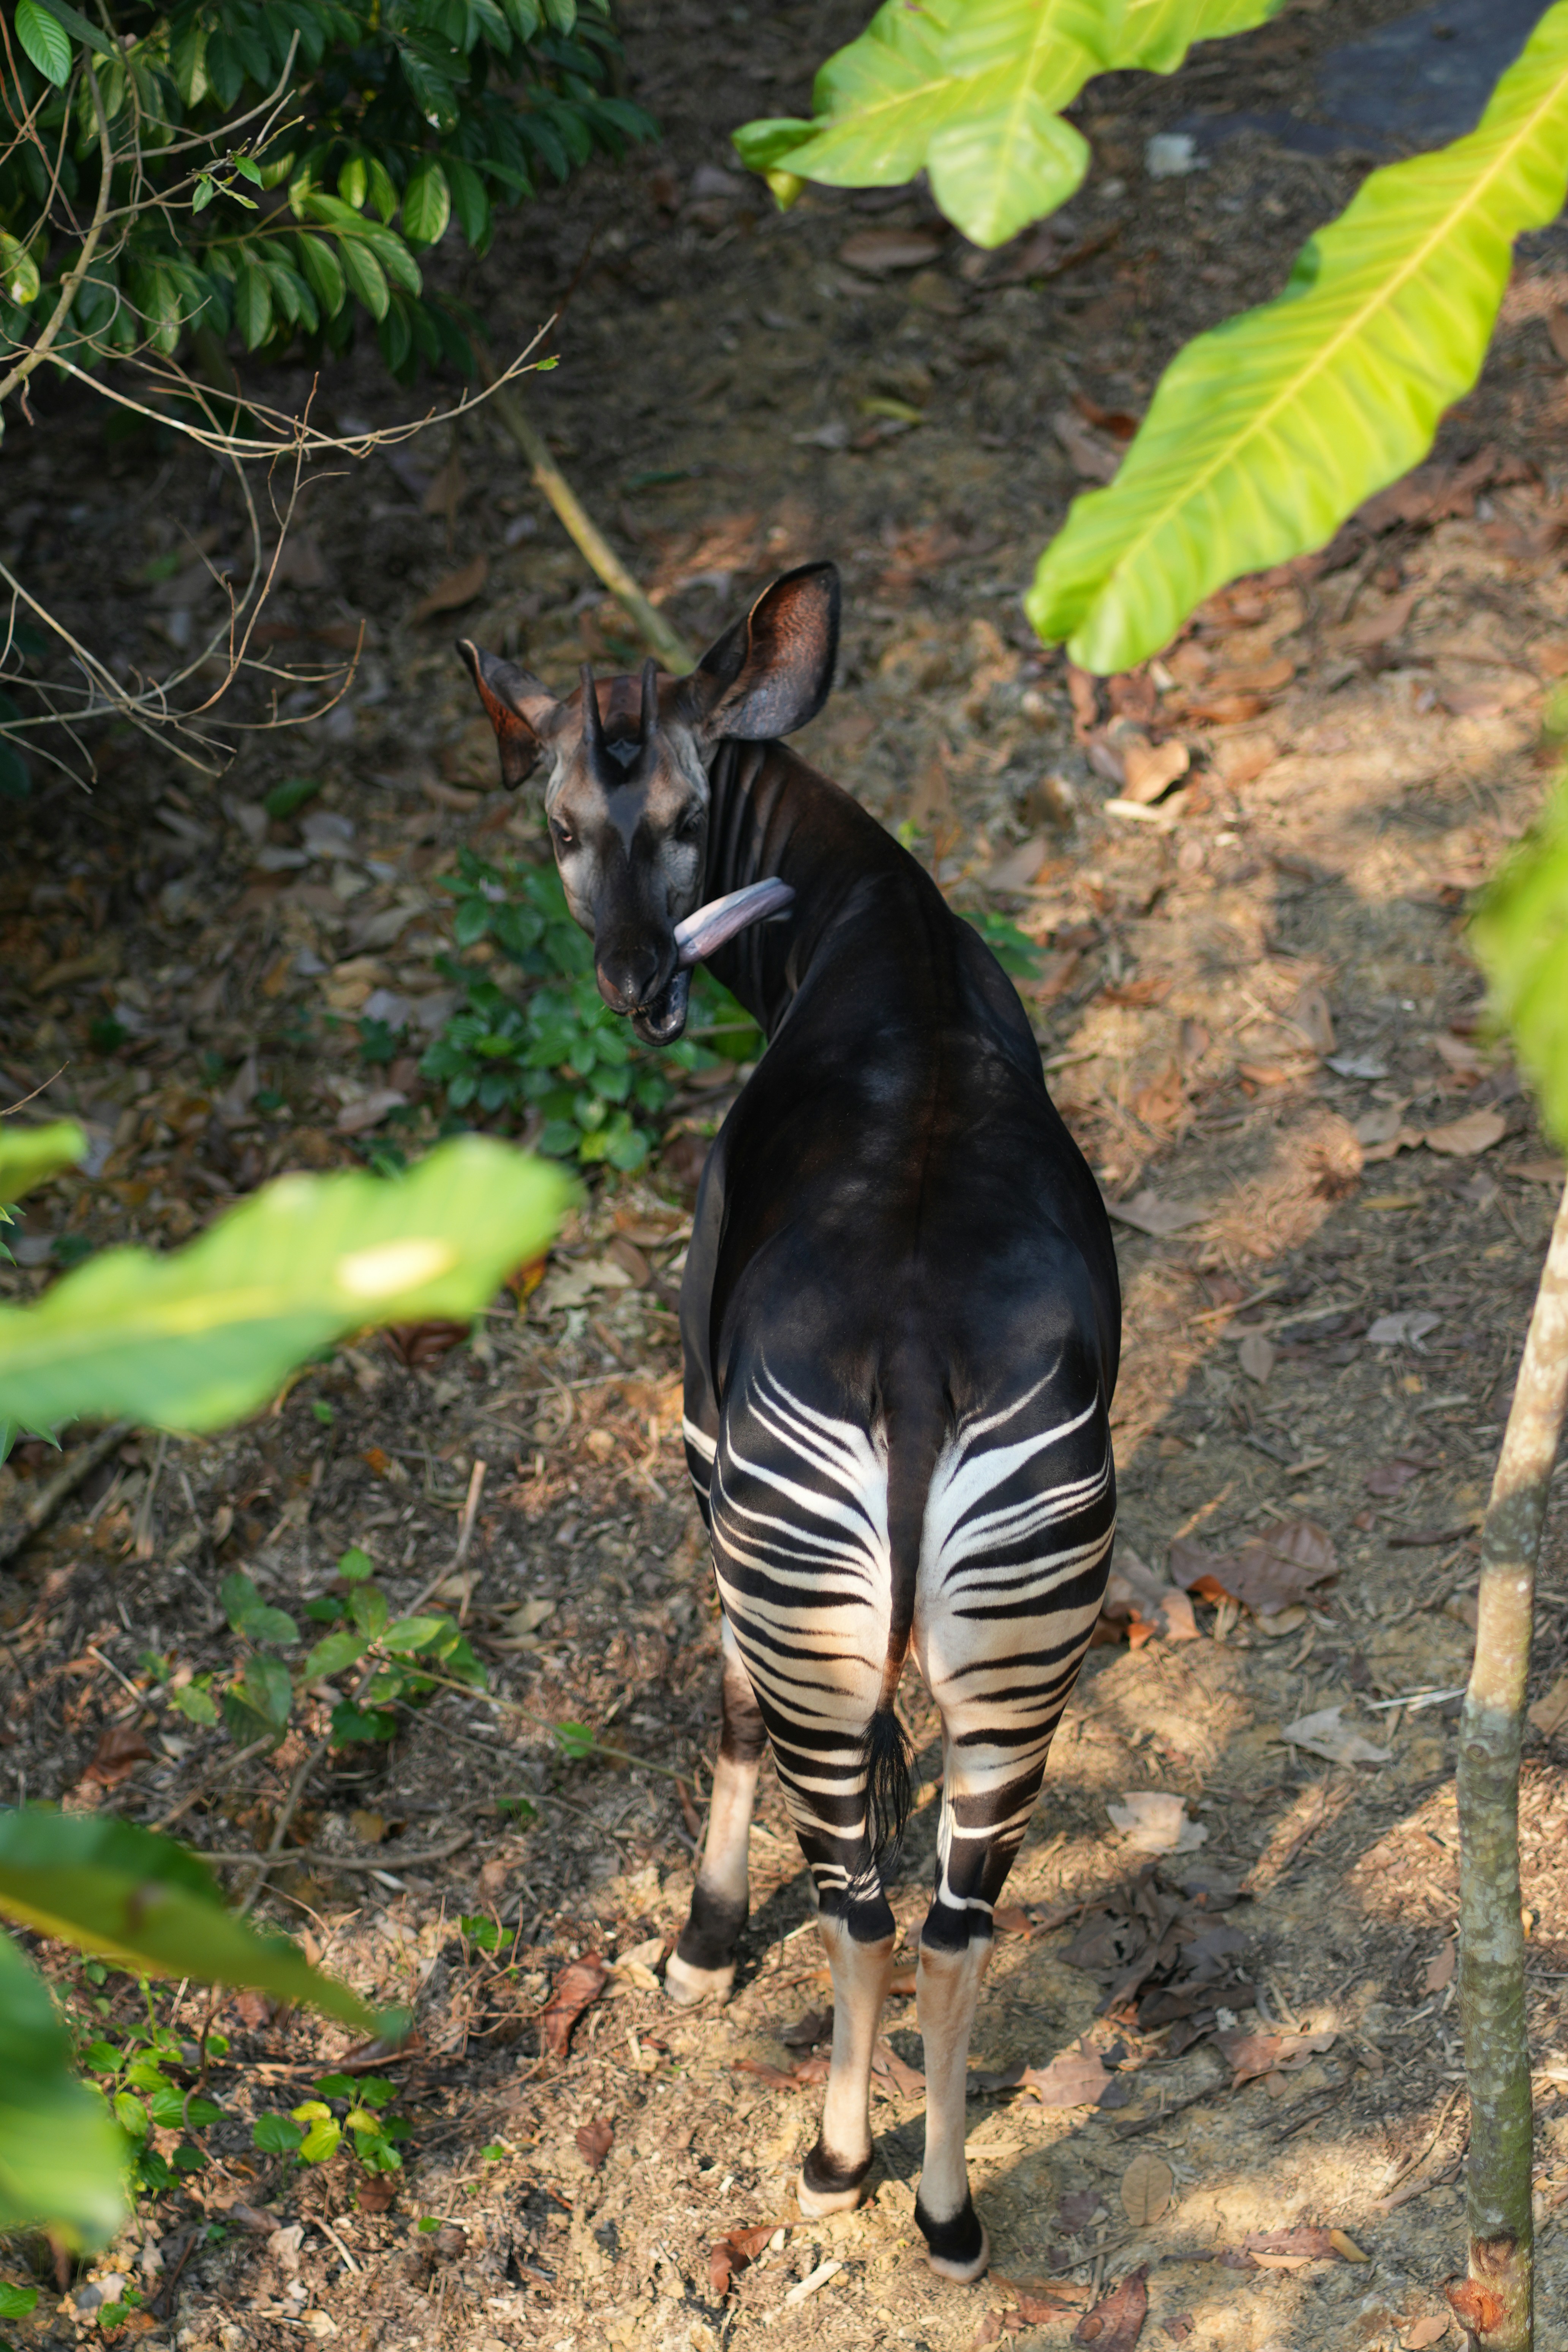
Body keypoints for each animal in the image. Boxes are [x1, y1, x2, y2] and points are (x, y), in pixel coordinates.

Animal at [461, 561, 1120, 2282]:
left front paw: (698, 1946)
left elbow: (730, 1711)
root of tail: (912, 1368)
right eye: (562, 827)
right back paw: (947, 2214)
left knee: (862, 1901)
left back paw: (831, 2168)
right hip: (1023, 1616)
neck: (867, 925)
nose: (642, 984)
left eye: (688, 821)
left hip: (801, 1548)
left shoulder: (702, 1432)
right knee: (955, 1920)